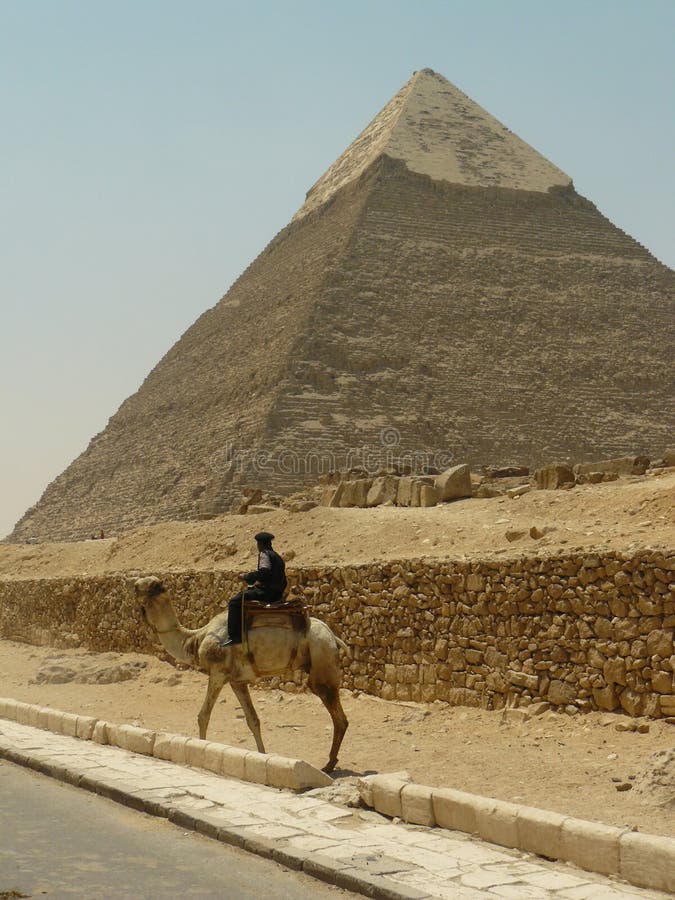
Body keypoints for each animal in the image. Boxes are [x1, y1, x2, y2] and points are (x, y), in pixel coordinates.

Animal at [134, 576, 349, 773]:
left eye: (149, 586)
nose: (133, 586)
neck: (196, 639)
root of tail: (333, 636)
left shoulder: (218, 673)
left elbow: (203, 715)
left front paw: (201, 748)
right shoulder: (237, 681)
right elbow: (253, 719)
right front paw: (262, 756)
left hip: (322, 657)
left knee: (338, 715)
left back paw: (329, 765)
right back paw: (330, 763)